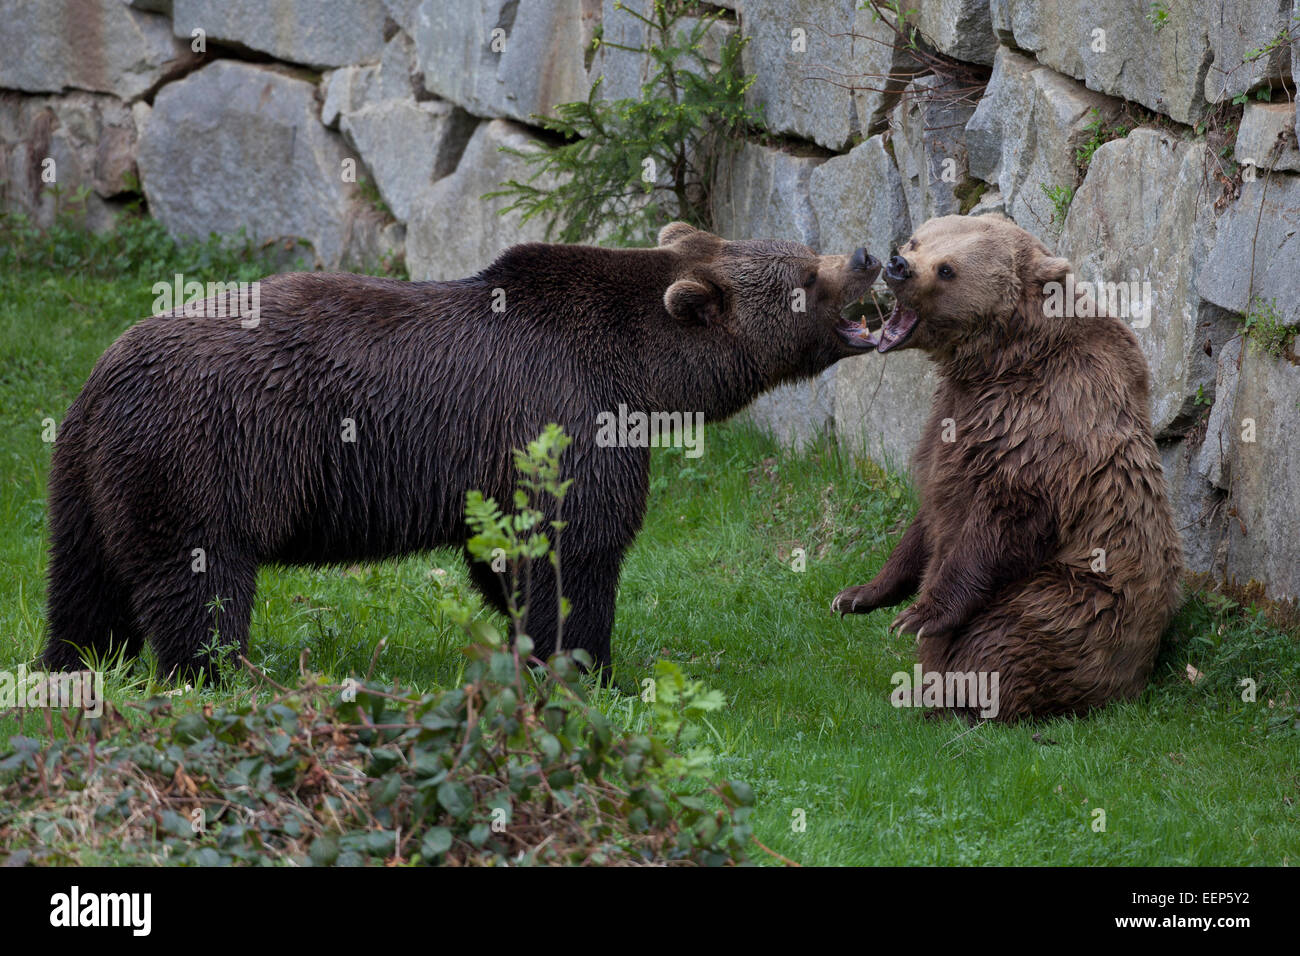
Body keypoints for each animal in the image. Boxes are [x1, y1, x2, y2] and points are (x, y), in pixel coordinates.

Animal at [43, 222, 881, 681]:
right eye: (808, 274)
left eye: (807, 250)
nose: (870, 255)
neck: (642, 371)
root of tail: (102, 375)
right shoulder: (561, 417)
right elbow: (575, 546)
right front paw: (586, 665)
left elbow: (505, 554)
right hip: (205, 456)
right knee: (202, 581)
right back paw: (216, 673)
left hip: (89, 478)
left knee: (86, 583)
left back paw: (77, 662)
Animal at [832, 214, 1182, 722]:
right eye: (917, 240)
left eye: (947, 269)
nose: (897, 264)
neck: (997, 362)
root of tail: (1136, 678)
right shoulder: (949, 422)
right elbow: (927, 516)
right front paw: (859, 595)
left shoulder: (1040, 435)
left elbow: (997, 528)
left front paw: (919, 616)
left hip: (1083, 596)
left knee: (1008, 636)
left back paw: (959, 701)